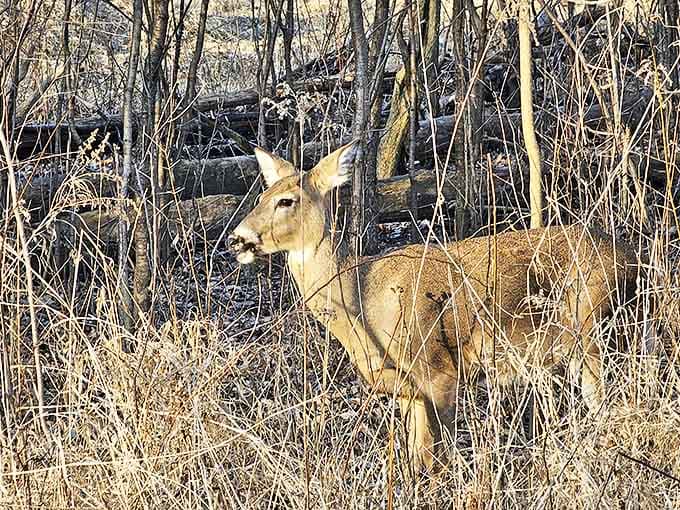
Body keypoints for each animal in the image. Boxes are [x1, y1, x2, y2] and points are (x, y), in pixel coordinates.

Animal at [228, 142, 638, 473]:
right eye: (262, 196)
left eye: (287, 200)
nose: (238, 239)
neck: (361, 296)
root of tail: (633, 256)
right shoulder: (409, 391)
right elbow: (417, 458)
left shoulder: (439, 370)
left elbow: (438, 460)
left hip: (593, 332)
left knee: (609, 403)